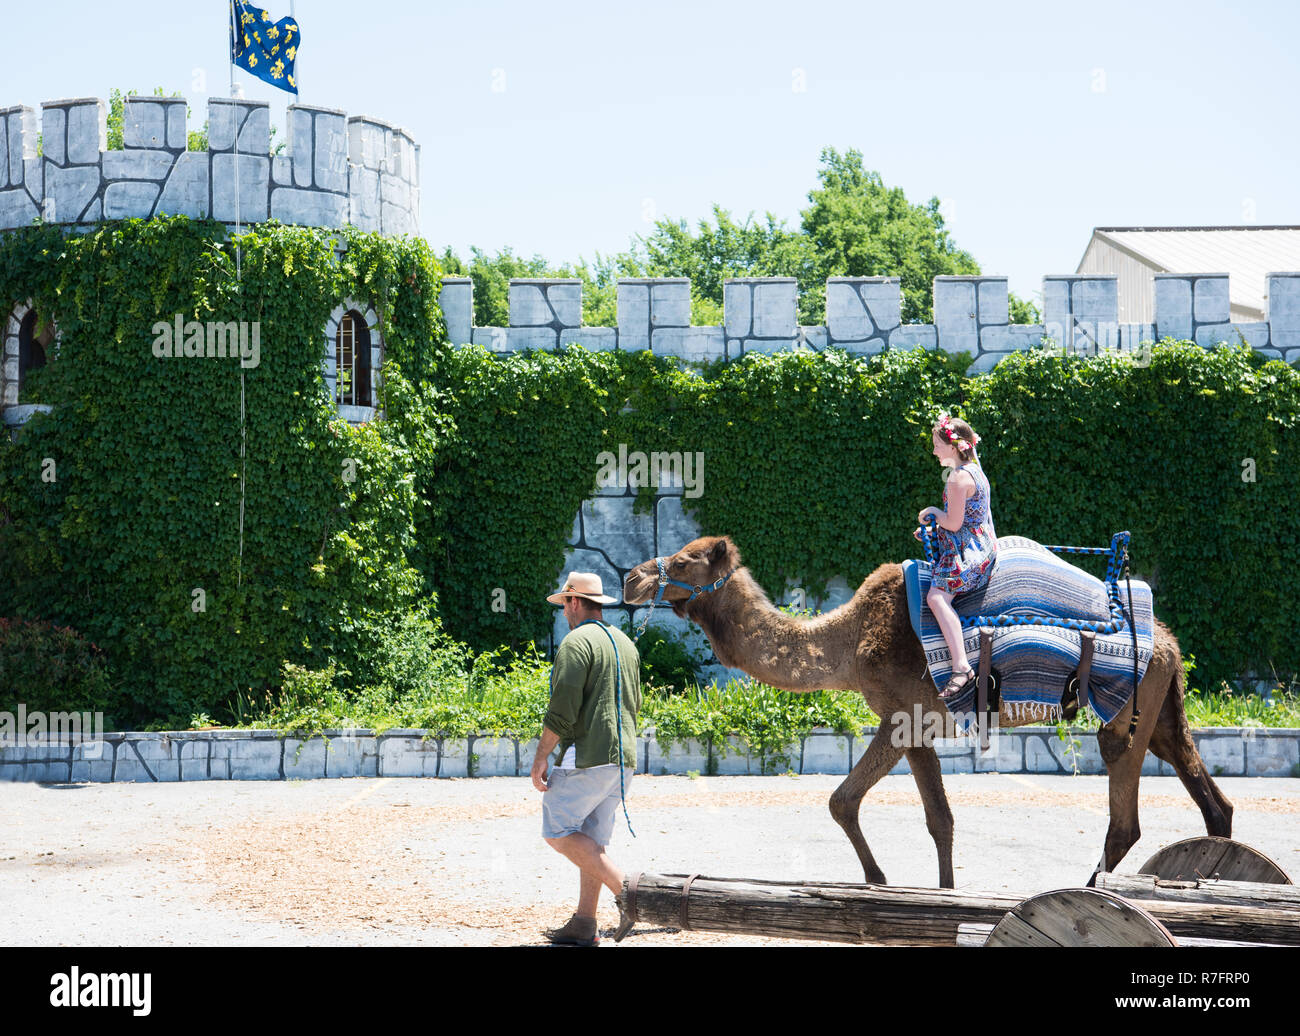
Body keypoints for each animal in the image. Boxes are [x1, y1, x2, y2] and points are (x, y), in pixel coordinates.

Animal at [624, 535, 1233, 888]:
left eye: (685, 559)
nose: (631, 578)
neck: (848, 640)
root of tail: (1168, 640)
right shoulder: (899, 721)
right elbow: (846, 800)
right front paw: (879, 878)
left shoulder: (908, 716)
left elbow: (934, 818)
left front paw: (939, 893)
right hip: (1162, 710)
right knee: (1213, 802)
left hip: (1124, 708)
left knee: (1125, 819)